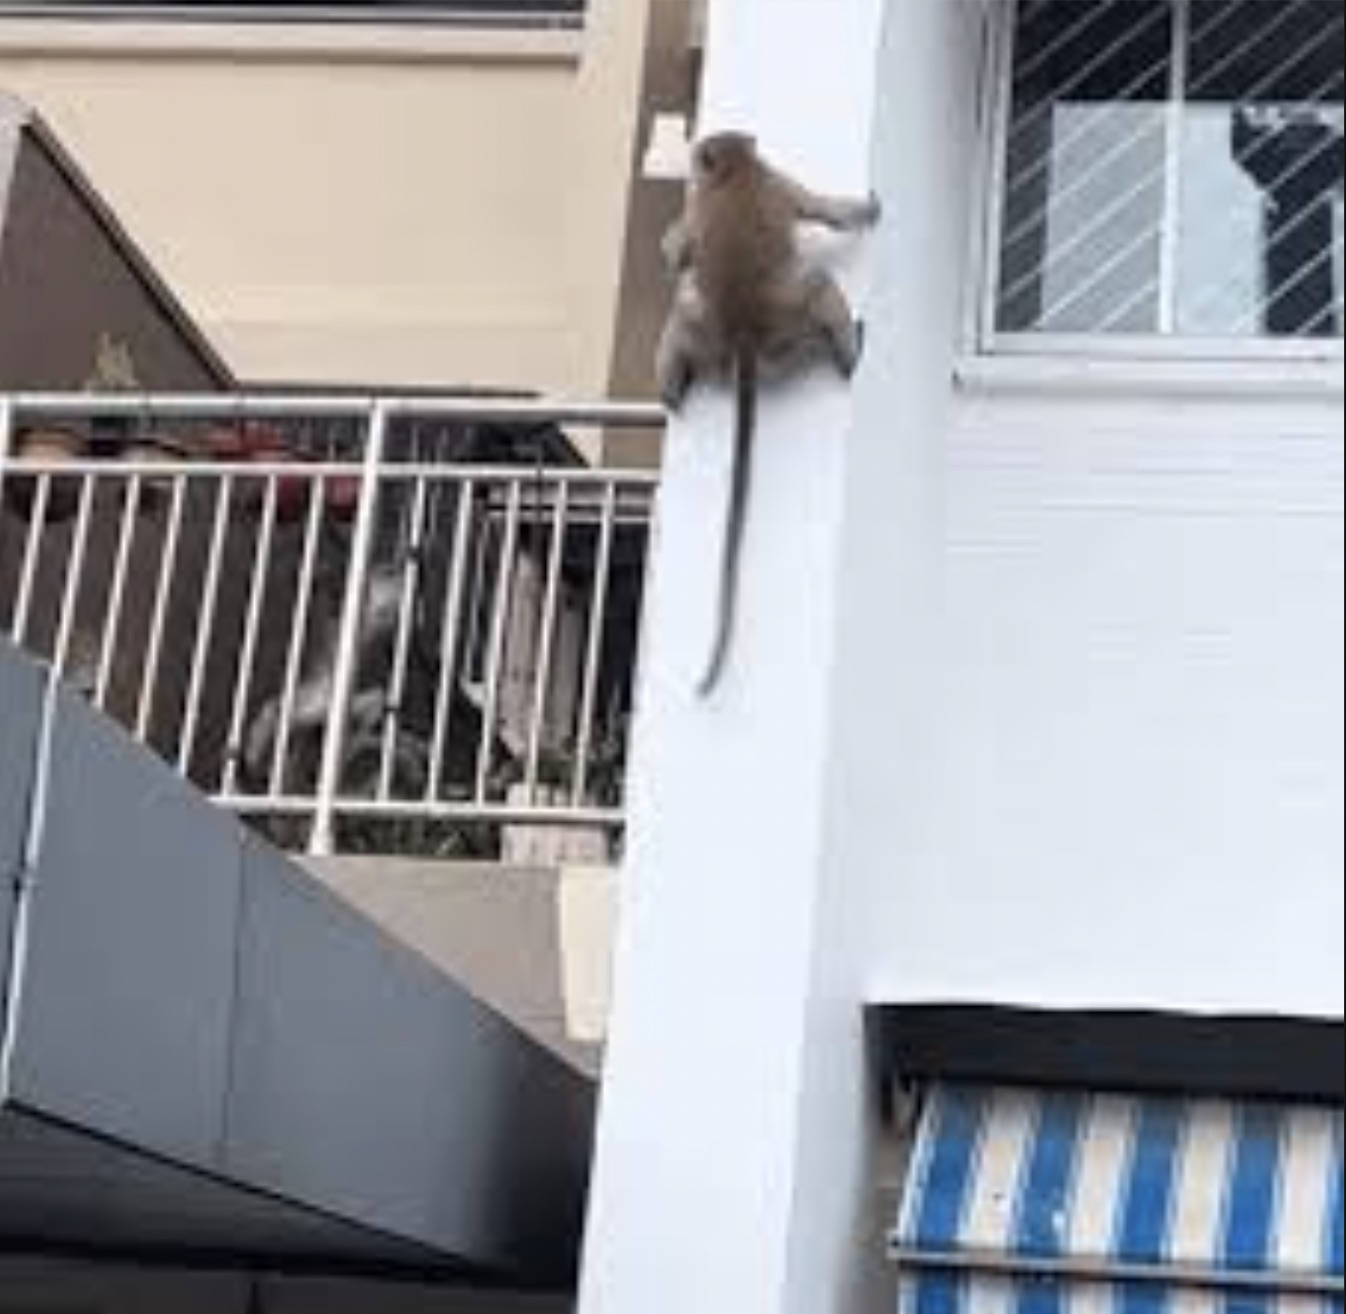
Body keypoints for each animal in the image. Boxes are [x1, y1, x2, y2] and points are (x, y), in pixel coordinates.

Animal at [655, 131, 880, 697]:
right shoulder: (774, 180)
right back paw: (848, 355)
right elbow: (826, 212)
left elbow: (675, 254)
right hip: (789, 325)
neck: (736, 168)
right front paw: (866, 208)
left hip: (707, 332)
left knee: (682, 305)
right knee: (817, 280)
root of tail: (745, 337)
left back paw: (669, 389)